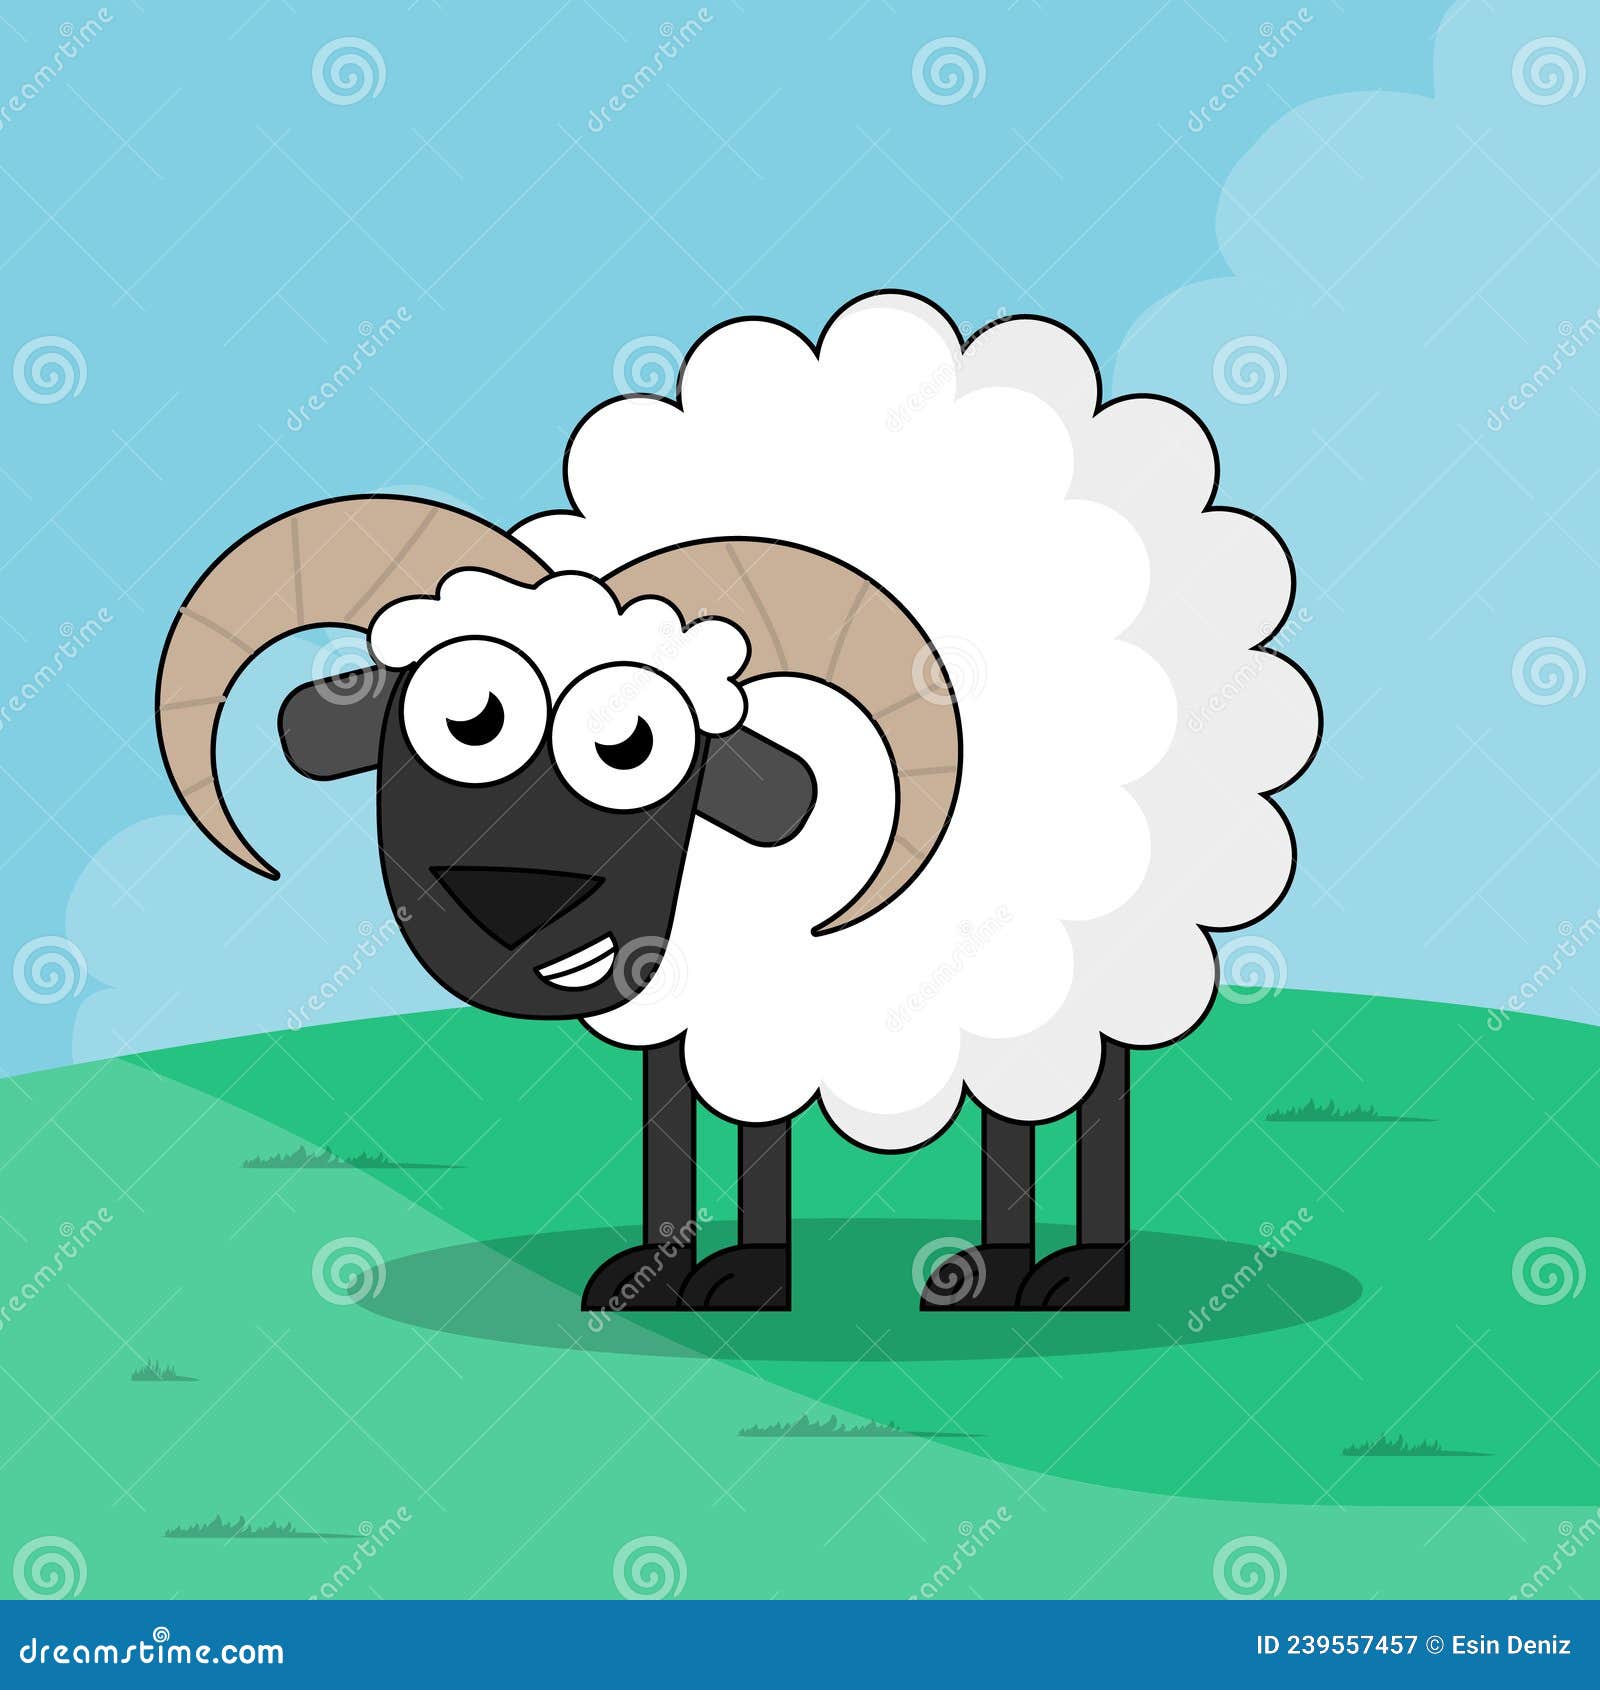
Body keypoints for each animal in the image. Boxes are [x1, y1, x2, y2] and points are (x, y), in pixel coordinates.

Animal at [155, 292, 1319, 1313]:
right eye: (466, 717)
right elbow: (678, 1111)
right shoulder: (691, 999)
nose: (514, 906)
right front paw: (664, 1274)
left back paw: (1059, 1276)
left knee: (1070, 1093)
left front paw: (751, 1277)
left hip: (1096, 947)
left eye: (631, 743)